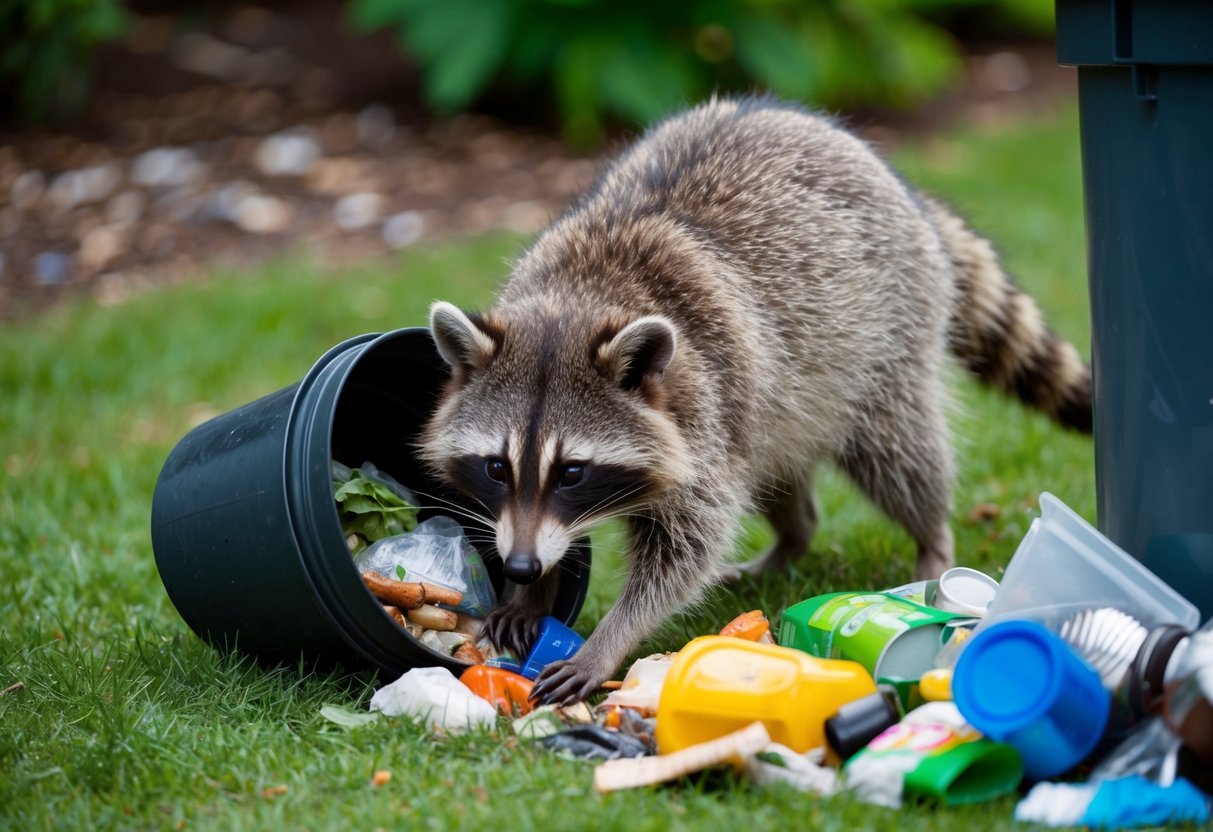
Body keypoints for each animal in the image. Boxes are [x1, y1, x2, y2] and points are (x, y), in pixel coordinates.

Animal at [420, 97, 1091, 704]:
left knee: (897, 454)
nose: (521, 566)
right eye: (496, 467)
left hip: (881, 343)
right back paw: (793, 537)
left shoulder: (705, 408)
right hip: (776, 404)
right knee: (775, 469)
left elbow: (689, 546)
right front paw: (536, 591)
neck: (577, 297)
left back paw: (932, 544)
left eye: (573, 472)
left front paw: (608, 637)